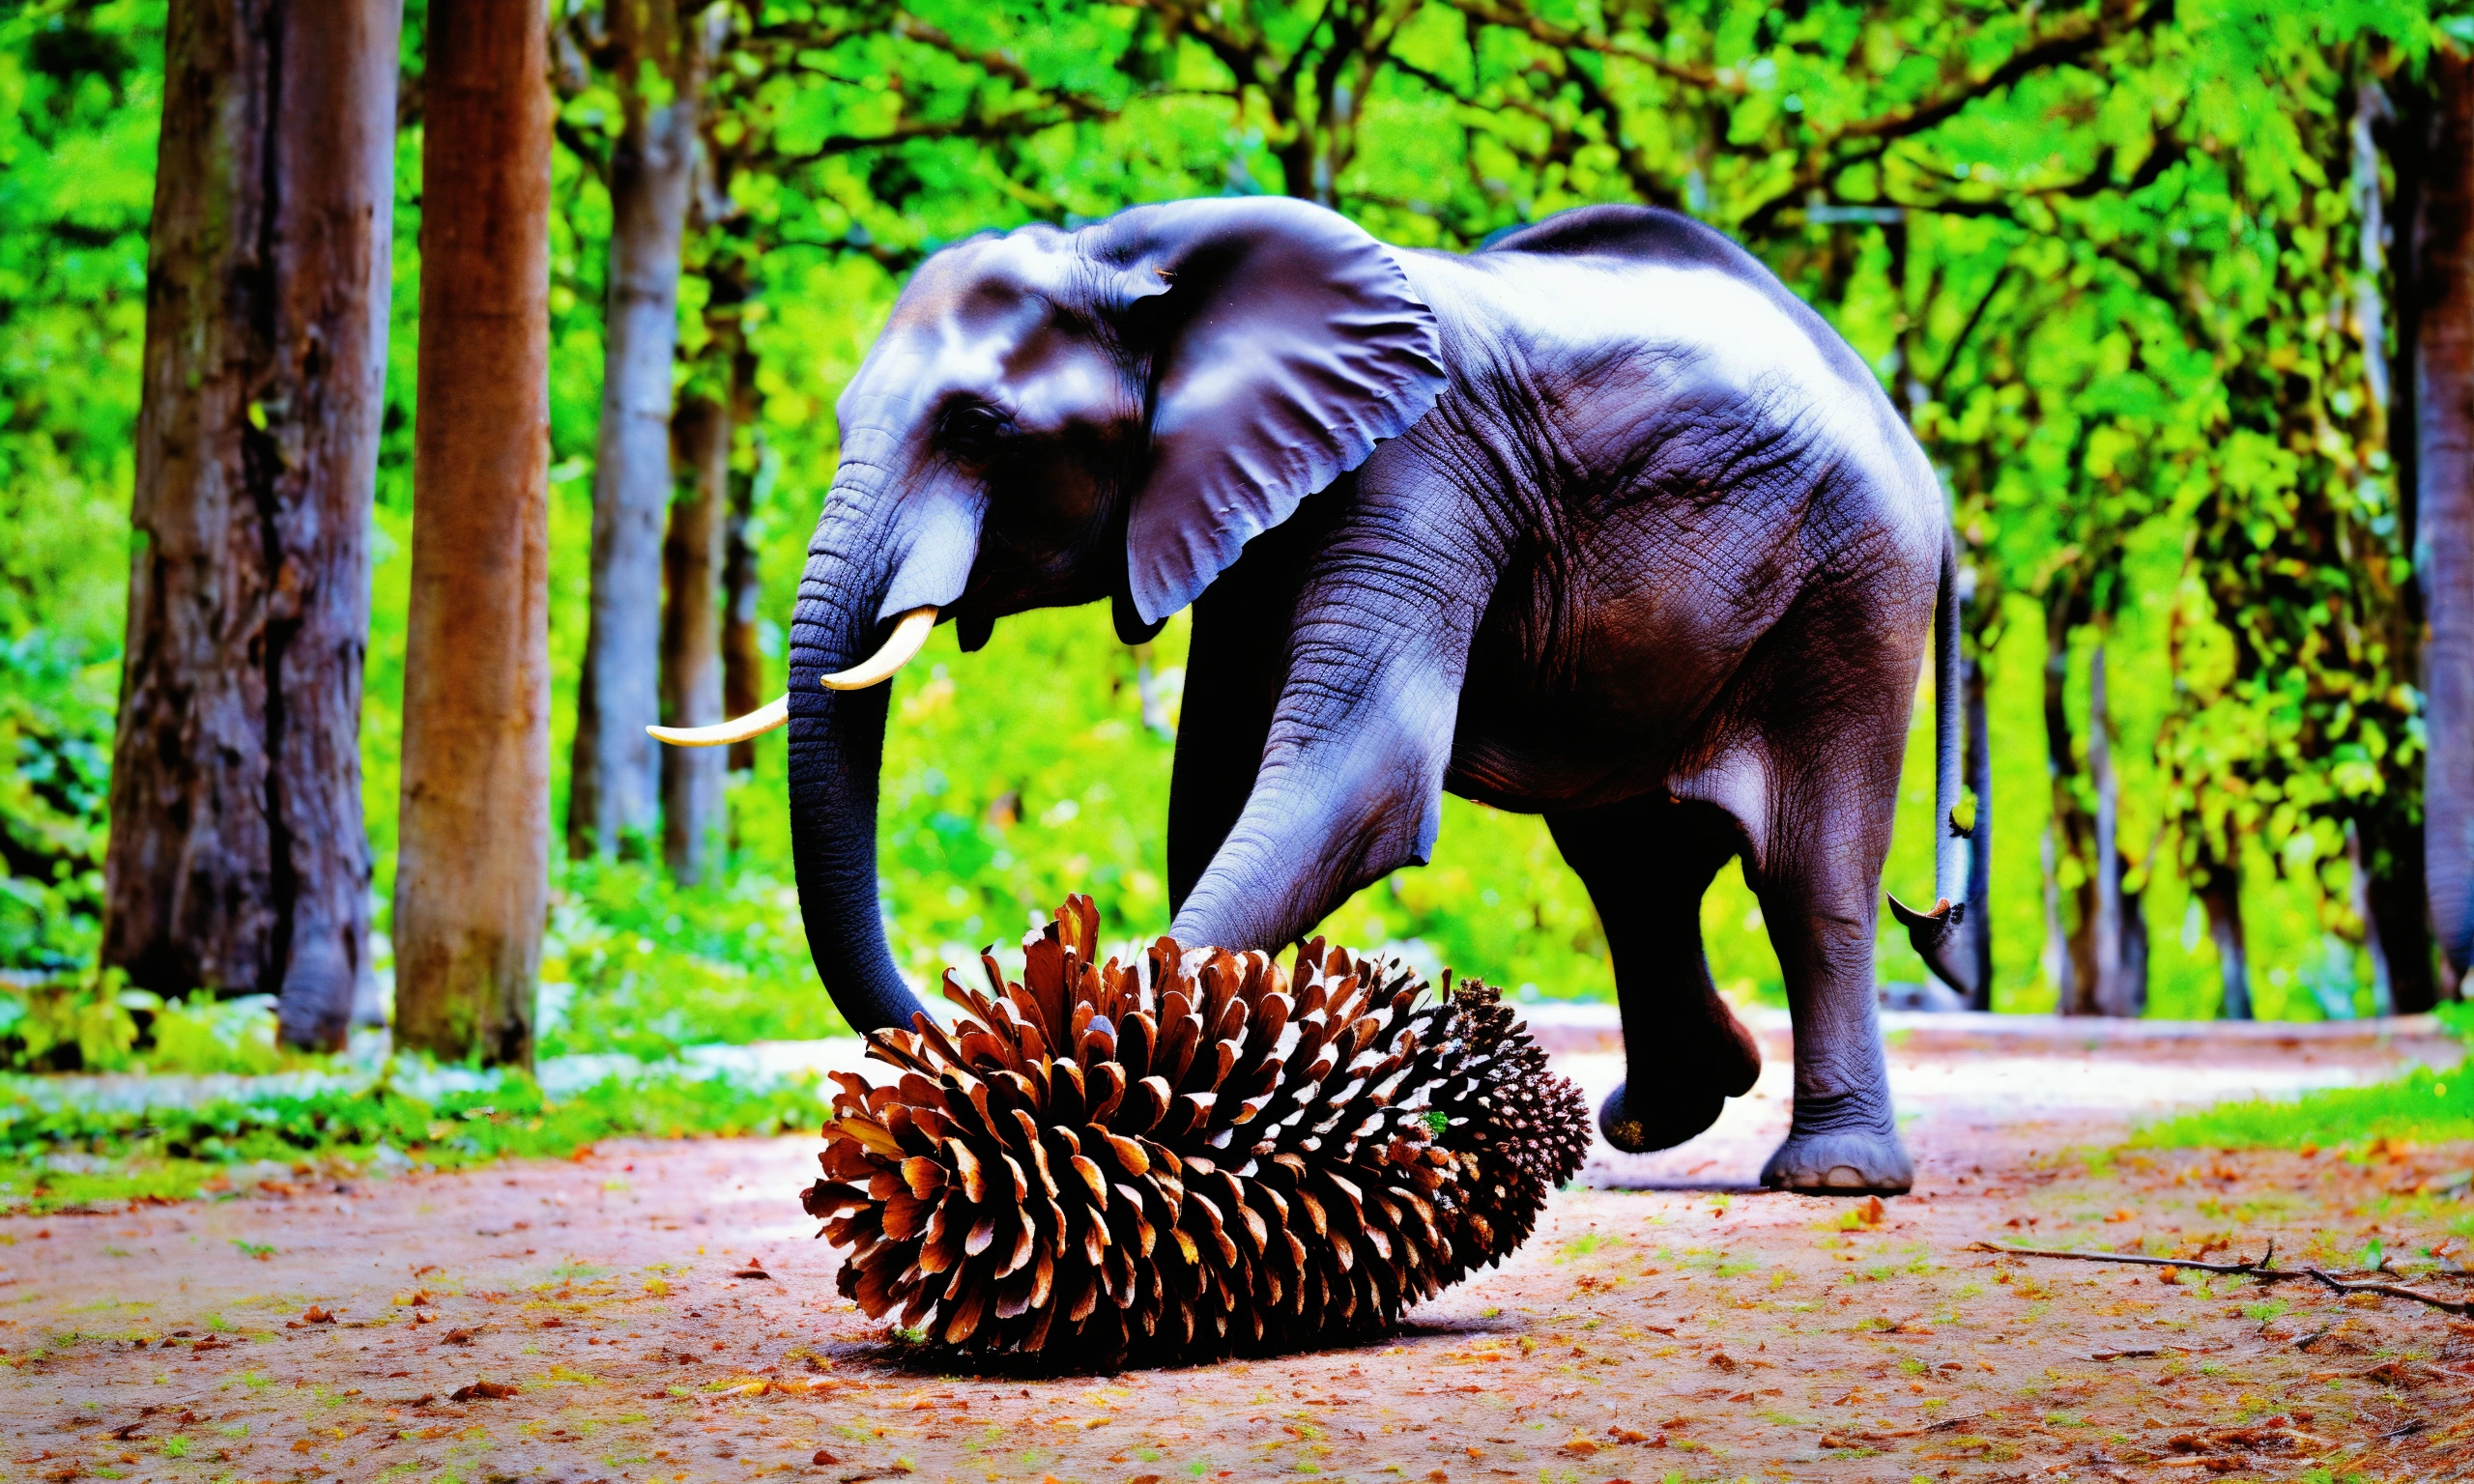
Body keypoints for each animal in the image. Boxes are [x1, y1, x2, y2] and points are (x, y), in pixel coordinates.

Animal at [654, 196, 1967, 1196]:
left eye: (981, 426)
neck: (1136, 254)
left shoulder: (1422, 464)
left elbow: (1353, 767)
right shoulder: (1242, 506)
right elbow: (1216, 780)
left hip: (1854, 589)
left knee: (1804, 872)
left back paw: (1832, 1176)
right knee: (1628, 866)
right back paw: (1669, 1113)